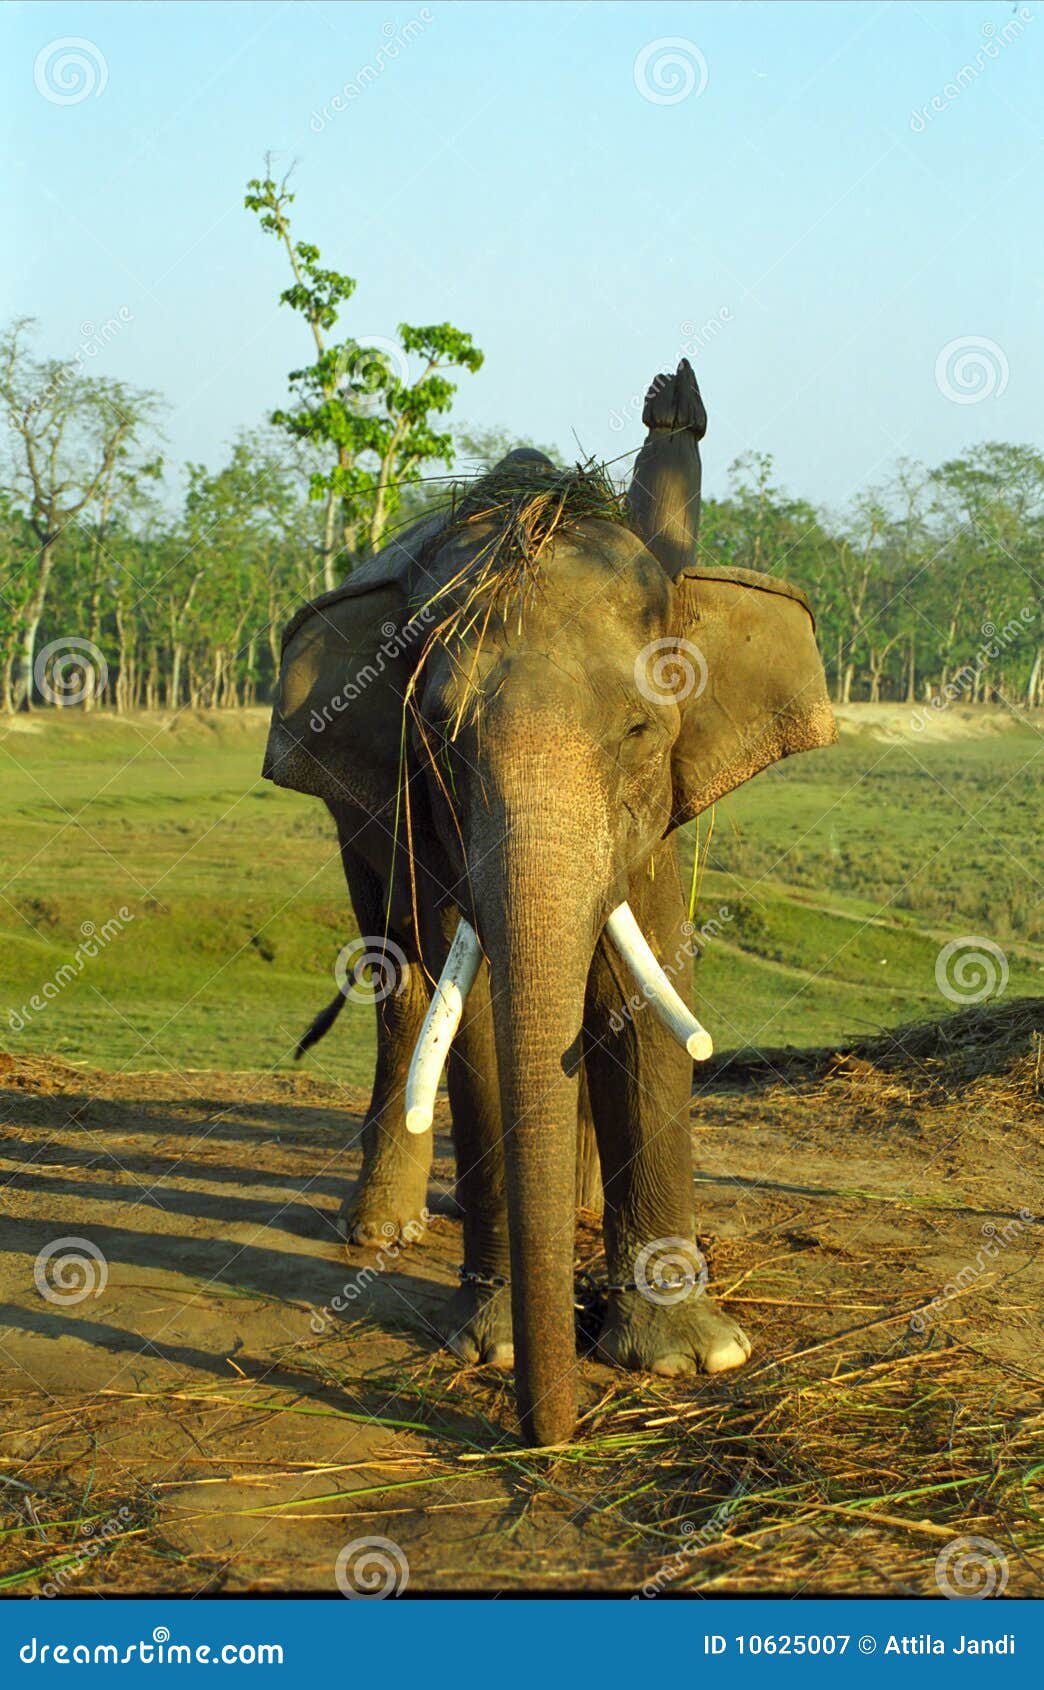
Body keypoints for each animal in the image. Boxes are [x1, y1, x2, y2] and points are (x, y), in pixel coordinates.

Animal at [263, 359, 837, 1446]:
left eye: (641, 732)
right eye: (440, 739)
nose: (548, 1436)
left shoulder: (656, 822)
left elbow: (645, 993)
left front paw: (688, 1355)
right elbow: (481, 1016)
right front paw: (488, 1342)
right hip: (354, 819)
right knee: (401, 975)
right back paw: (384, 1226)